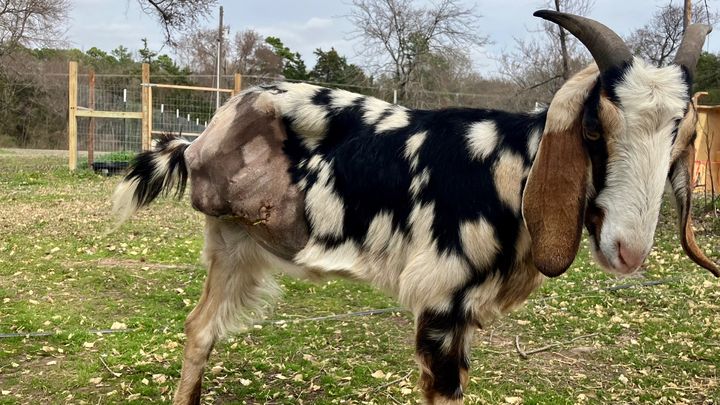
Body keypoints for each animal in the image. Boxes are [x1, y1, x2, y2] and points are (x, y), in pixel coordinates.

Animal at [112, 11, 718, 405]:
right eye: (595, 125)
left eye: (680, 134)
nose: (627, 250)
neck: (511, 173)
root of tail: (199, 141)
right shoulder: (441, 303)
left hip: (235, 243)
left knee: (200, 330)